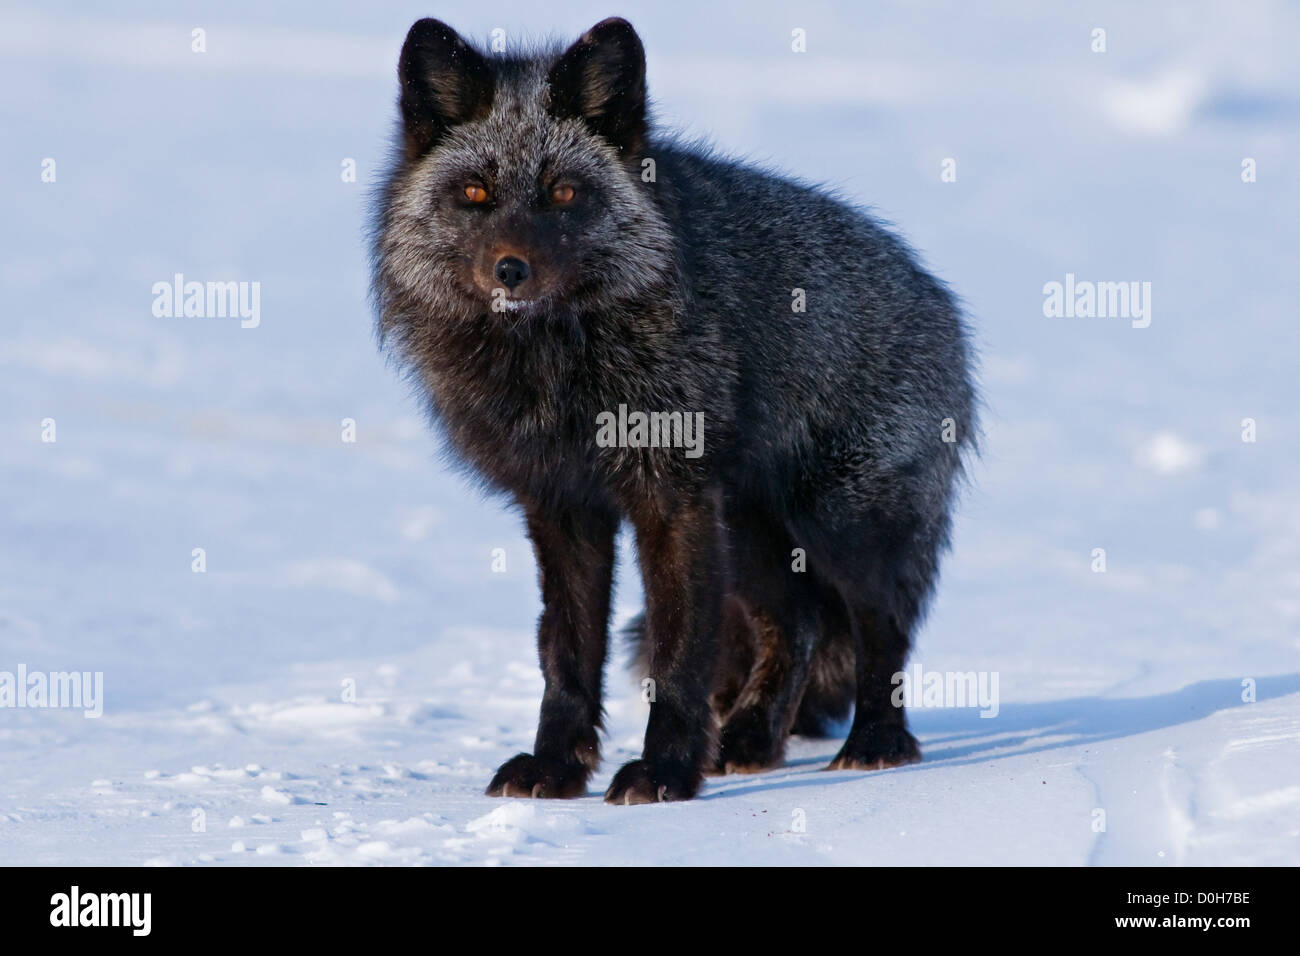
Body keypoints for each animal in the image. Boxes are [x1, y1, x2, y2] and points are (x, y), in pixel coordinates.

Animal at [372, 17, 977, 804]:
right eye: (475, 191)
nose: (511, 270)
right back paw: (749, 740)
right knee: (799, 623)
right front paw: (556, 768)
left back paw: (876, 743)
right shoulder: (562, 508)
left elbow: (679, 653)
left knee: (883, 627)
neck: (558, 369)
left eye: (564, 192)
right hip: (749, 531)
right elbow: (566, 656)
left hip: (840, 524)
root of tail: (941, 300)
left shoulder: (673, 498)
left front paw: (662, 772)